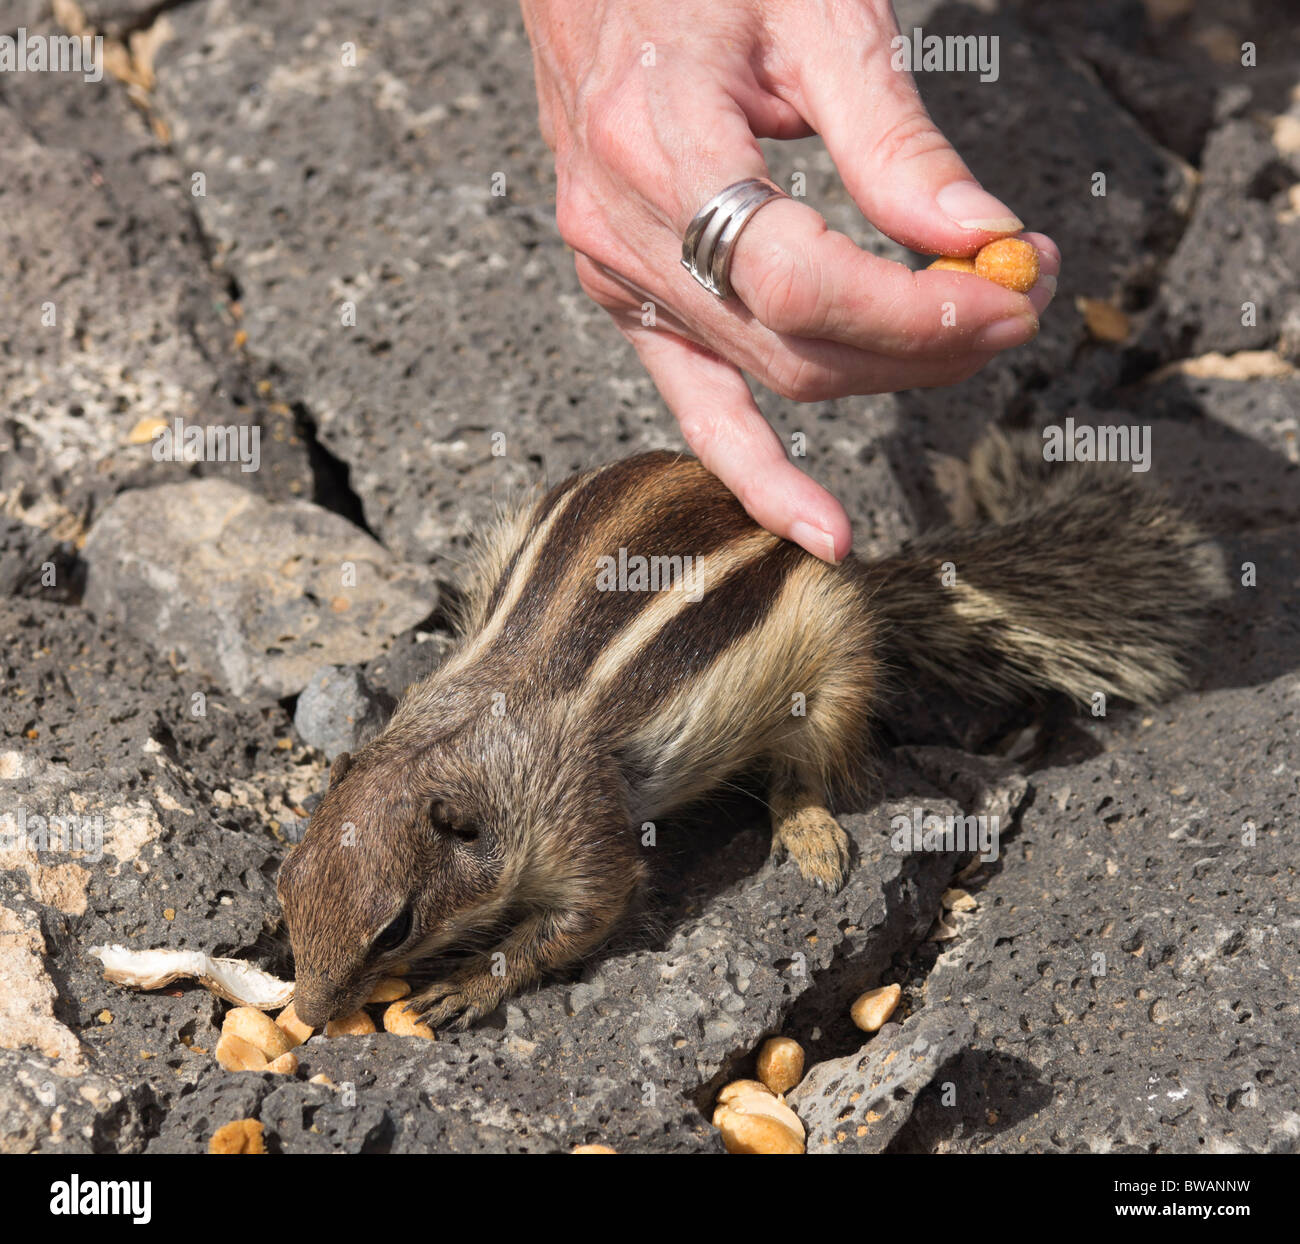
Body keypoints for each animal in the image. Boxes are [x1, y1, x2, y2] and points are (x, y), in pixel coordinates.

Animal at [278, 430, 1228, 1030]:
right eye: (283, 889)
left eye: (395, 929)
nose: (309, 1015)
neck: (473, 739)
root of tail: (850, 567)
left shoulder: (581, 820)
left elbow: (586, 914)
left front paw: (474, 984)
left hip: (834, 663)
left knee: (811, 770)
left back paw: (811, 835)